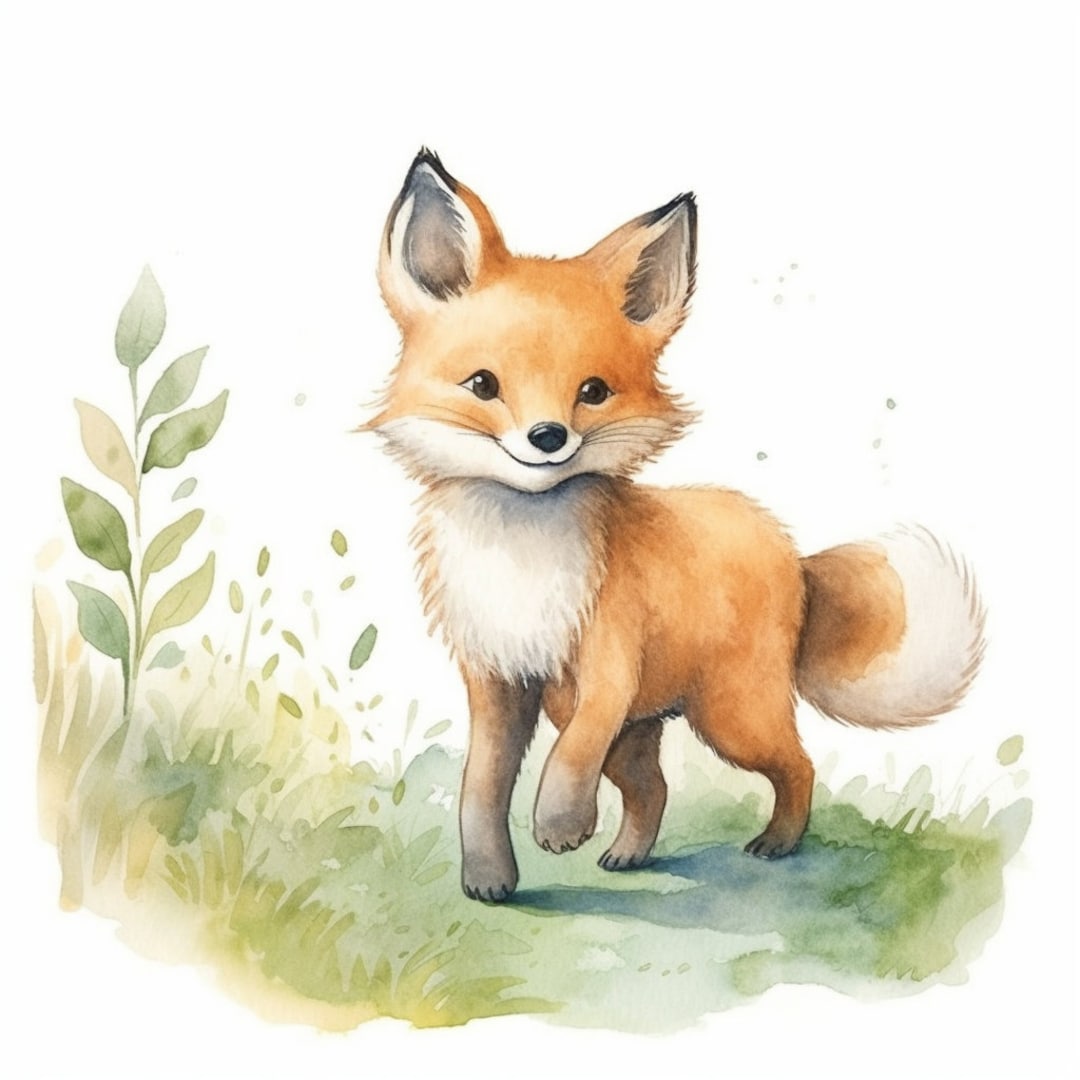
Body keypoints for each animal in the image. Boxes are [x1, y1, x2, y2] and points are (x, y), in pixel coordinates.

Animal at [365, 149, 985, 902]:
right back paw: (632, 854)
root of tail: (796, 557)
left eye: (593, 391)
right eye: (483, 385)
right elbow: (480, 786)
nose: (548, 437)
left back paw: (778, 842)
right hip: (638, 731)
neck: (523, 551)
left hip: (728, 717)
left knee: (798, 764)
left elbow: (567, 759)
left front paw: (559, 823)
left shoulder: (607, 666)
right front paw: (488, 875)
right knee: (654, 790)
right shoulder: (499, 679)